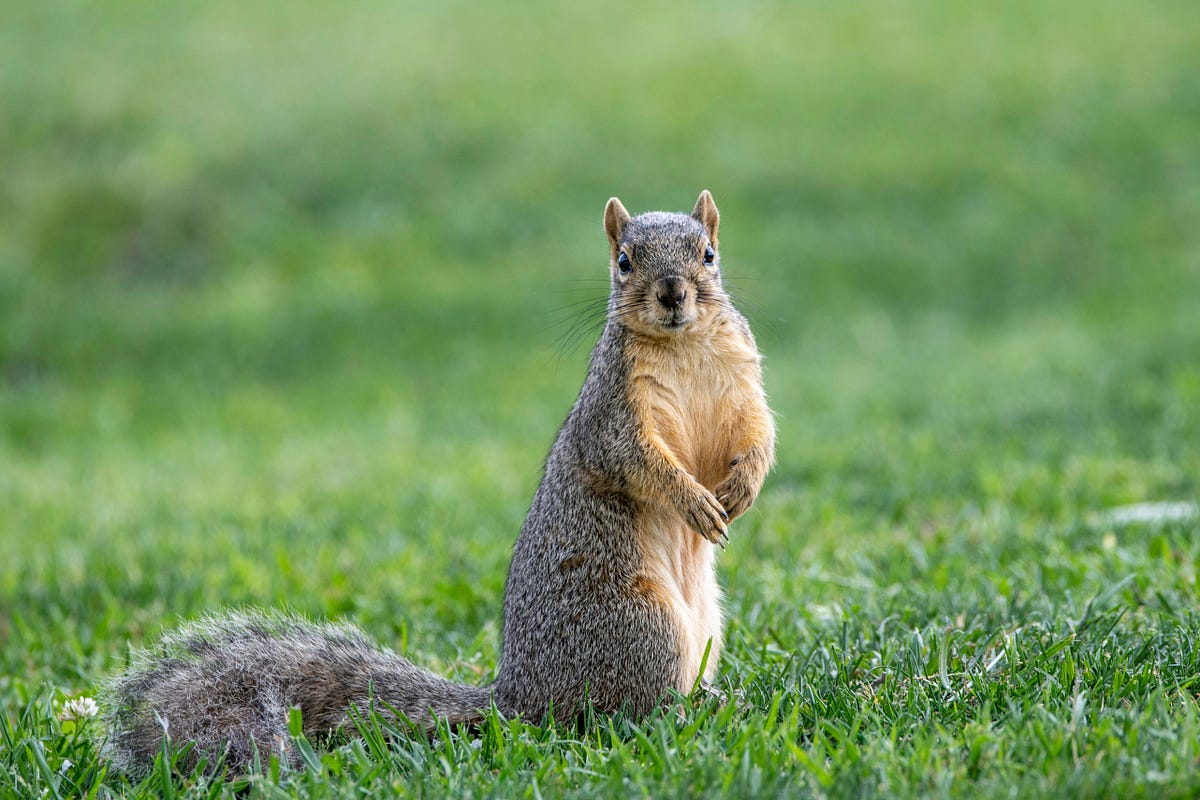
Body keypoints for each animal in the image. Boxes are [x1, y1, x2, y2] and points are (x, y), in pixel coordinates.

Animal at [100, 190, 776, 776]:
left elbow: (758, 434)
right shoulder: (613, 412)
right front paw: (693, 499)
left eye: (708, 253)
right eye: (624, 260)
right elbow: (637, 460)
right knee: (630, 714)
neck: (681, 345)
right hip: (639, 625)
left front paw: (742, 487)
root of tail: (520, 699)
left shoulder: (744, 383)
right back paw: (694, 710)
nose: (672, 293)